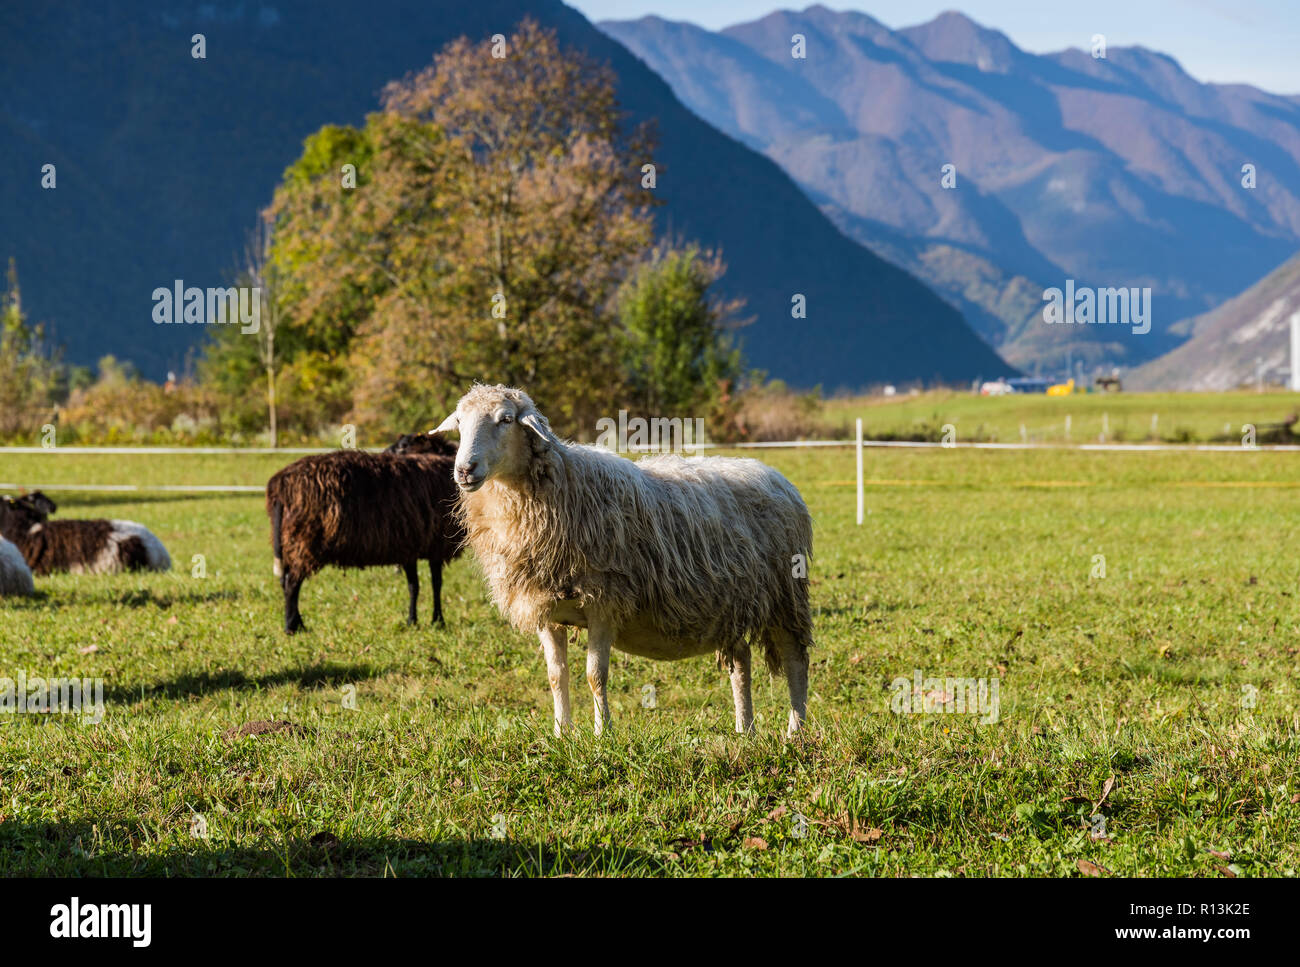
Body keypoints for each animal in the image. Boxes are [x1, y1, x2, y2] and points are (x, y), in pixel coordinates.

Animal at [265, 442, 464, 633]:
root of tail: (279, 487)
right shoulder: (435, 545)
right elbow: (436, 584)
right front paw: (438, 620)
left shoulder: (410, 547)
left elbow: (413, 586)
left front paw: (412, 621)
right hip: (304, 540)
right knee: (292, 584)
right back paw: (291, 626)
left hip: (288, 542)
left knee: (285, 580)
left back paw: (297, 622)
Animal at [431, 384, 813, 737]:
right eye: (460, 423)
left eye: (506, 419)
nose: (464, 470)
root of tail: (773, 475)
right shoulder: (544, 607)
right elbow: (556, 676)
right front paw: (561, 734)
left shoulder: (604, 602)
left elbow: (594, 676)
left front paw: (603, 734)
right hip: (730, 605)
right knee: (741, 660)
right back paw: (745, 729)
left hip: (786, 595)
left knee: (795, 660)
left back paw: (795, 731)